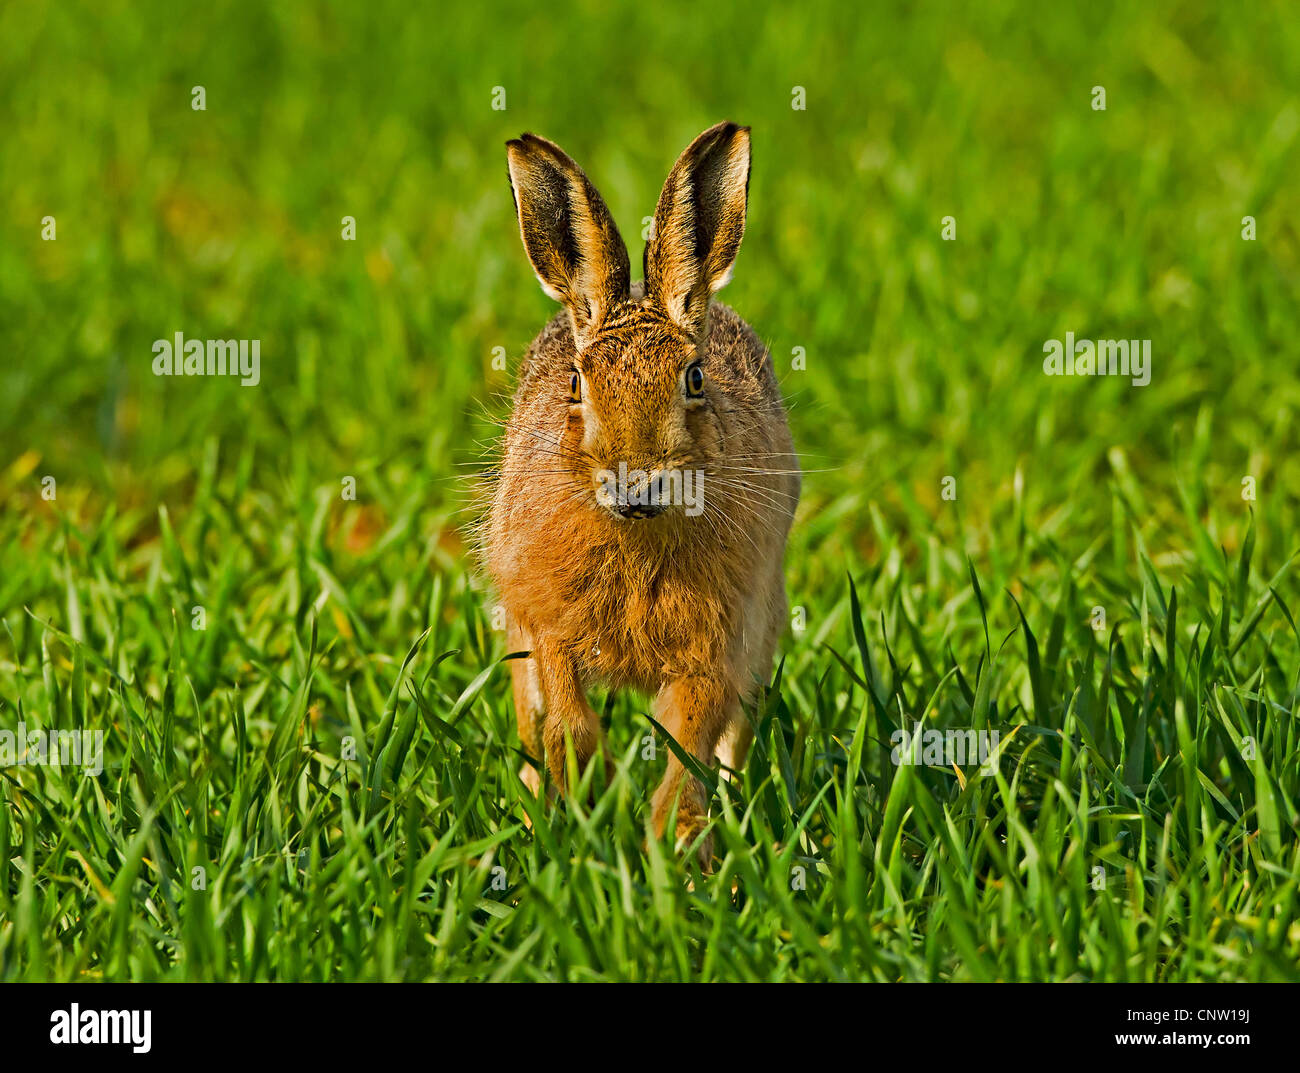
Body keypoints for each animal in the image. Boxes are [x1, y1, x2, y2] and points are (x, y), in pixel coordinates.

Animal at [485, 121, 800, 865]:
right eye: (577, 383)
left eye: (695, 378)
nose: (637, 480)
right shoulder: (547, 629)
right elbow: (567, 718)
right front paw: (587, 798)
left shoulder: (719, 647)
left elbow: (688, 750)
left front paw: (673, 854)